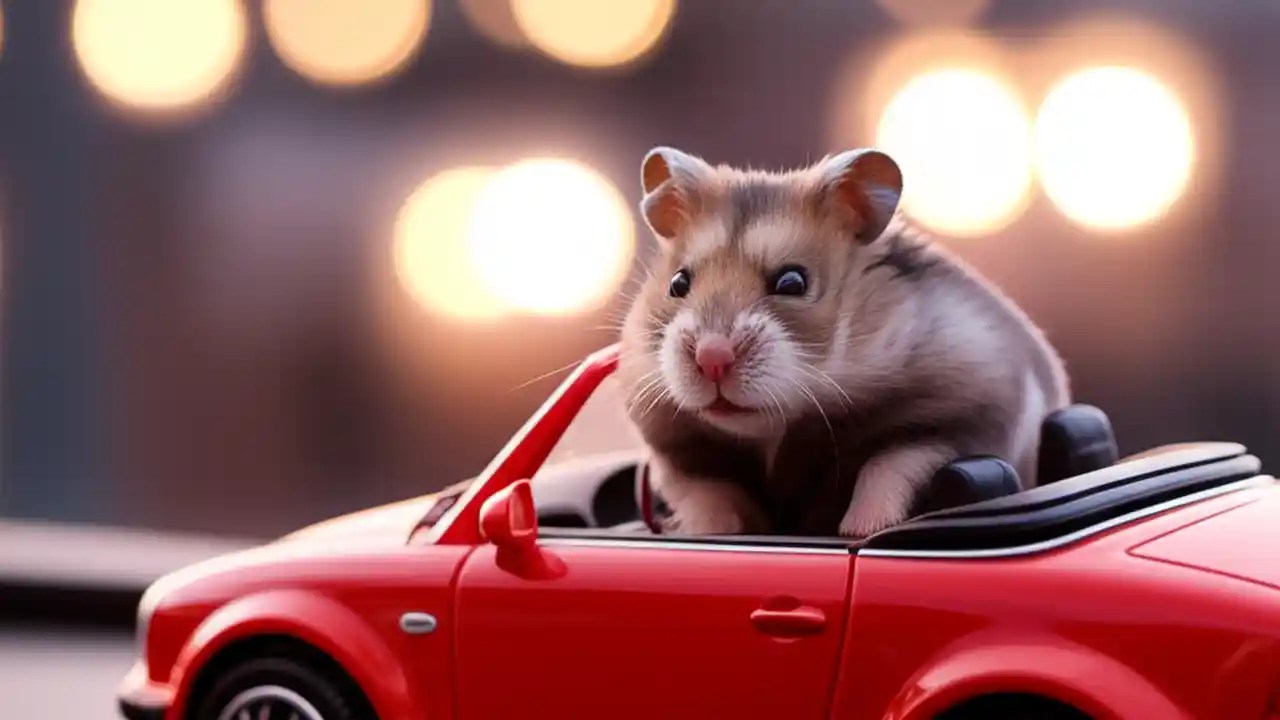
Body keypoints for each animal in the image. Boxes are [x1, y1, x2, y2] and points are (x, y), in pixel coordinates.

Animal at [616, 146, 1070, 537]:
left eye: (793, 282)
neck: (777, 426)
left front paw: (860, 529)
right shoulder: (681, 455)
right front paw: (710, 533)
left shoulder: (969, 418)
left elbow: (893, 464)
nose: (711, 358)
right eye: (678, 283)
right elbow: (708, 497)